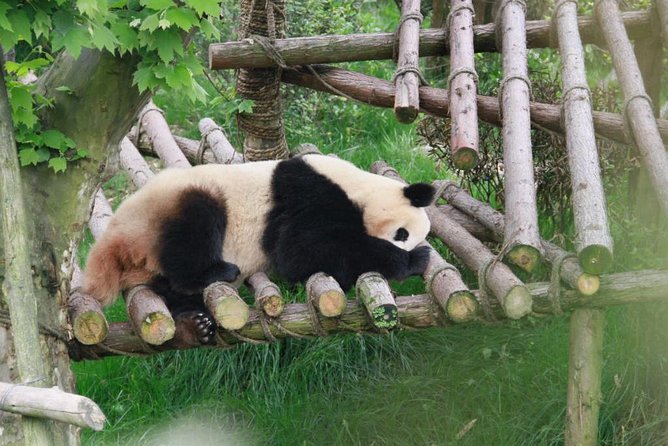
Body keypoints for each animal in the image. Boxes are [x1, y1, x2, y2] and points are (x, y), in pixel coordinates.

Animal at [83, 154, 434, 345]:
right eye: (402, 233)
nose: (408, 246)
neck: (357, 185)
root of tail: (115, 238)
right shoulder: (306, 194)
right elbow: (301, 250)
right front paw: (412, 259)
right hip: (170, 206)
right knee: (195, 226)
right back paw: (218, 271)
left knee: (170, 292)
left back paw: (193, 326)